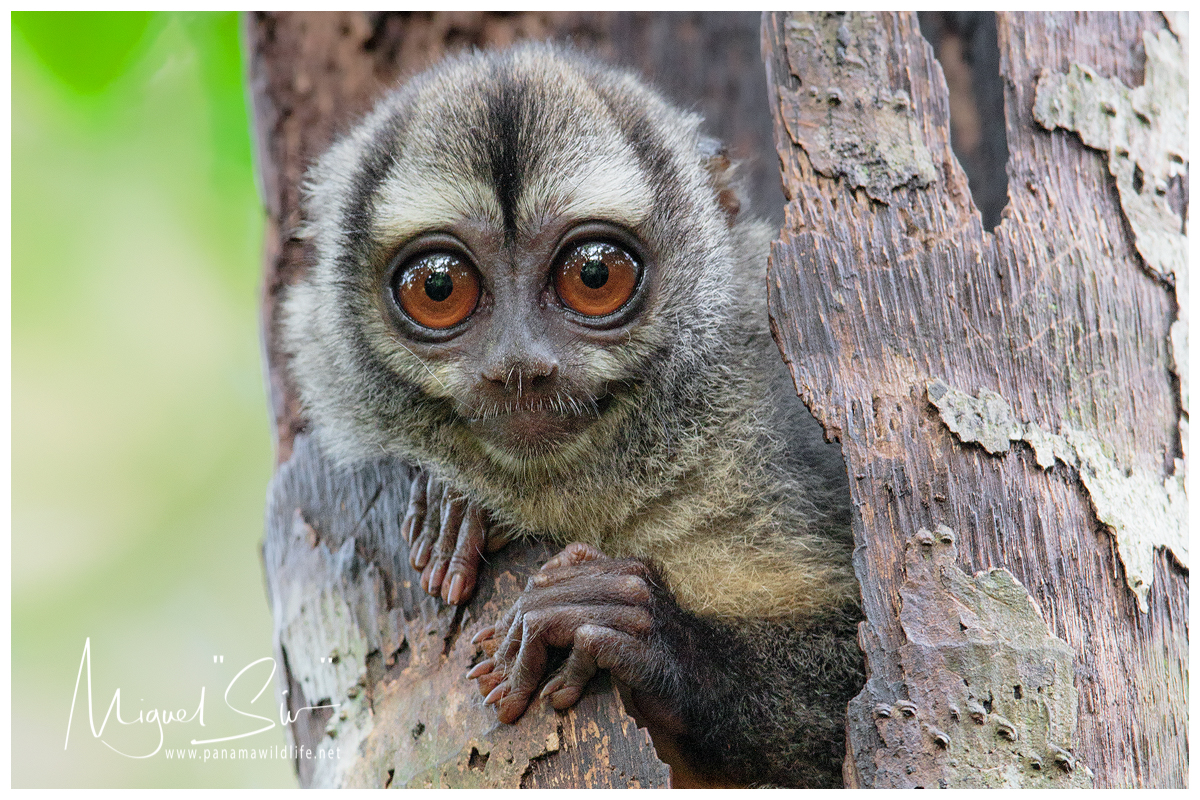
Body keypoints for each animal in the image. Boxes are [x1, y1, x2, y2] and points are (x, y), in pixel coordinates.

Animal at [281, 43, 863, 788]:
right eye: (438, 287)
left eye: (594, 275)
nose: (520, 368)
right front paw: (453, 509)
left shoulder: (789, 462)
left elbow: (861, 702)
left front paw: (625, 629)